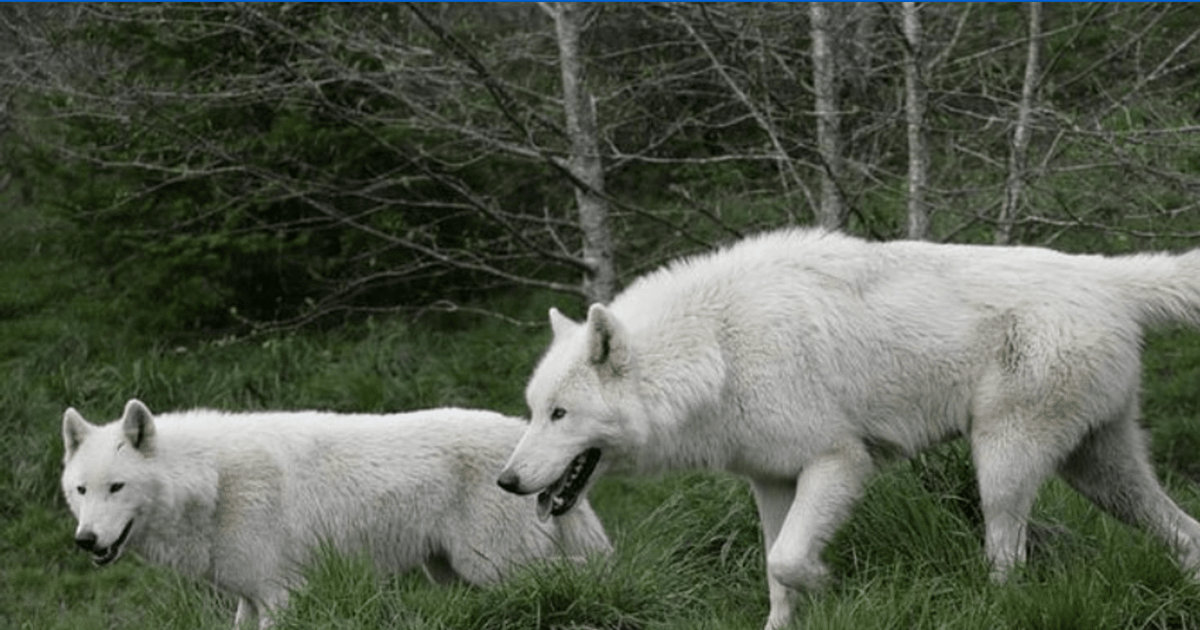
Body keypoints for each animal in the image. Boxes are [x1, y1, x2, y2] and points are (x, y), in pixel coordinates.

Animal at [62, 400, 611, 629]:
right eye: (81, 490)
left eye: (117, 487)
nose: (85, 540)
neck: (214, 483)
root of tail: (519, 438)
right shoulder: (249, 599)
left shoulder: (282, 596)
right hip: (456, 575)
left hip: (497, 568)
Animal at [496, 228, 1200, 630]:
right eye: (532, 410)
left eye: (559, 414)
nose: (505, 481)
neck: (717, 349)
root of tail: (1103, 274)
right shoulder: (771, 482)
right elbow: (774, 571)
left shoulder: (838, 461)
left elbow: (787, 562)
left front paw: (828, 587)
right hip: (1101, 473)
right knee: (1185, 528)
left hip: (1002, 465)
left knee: (1009, 556)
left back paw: (999, 607)